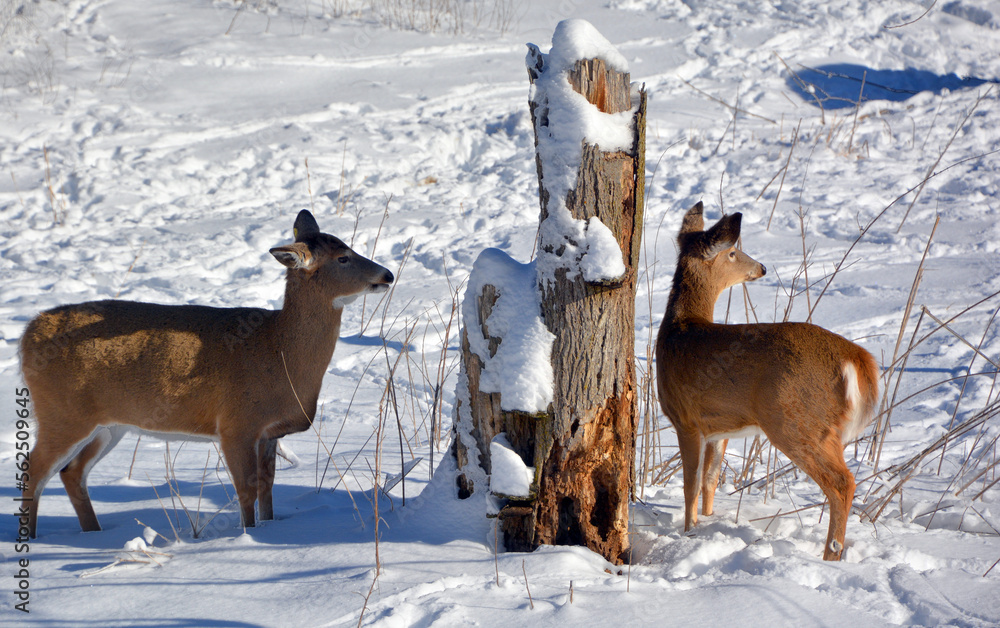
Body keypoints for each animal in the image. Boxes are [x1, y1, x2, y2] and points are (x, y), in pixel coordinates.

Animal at [19, 209, 394, 538]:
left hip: (109, 425)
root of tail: (27, 335)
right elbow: (246, 491)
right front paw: (248, 535)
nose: (387, 275)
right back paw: (32, 539)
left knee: (72, 472)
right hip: (62, 413)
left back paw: (93, 534)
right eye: (343, 258)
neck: (278, 351)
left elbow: (268, 489)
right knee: (33, 470)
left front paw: (268, 527)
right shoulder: (236, 424)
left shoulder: (269, 432)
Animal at [655, 202, 879, 561]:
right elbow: (709, 480)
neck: (679, 328)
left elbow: (689, 485)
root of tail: (854, 356)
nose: (760, 267)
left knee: (843, 482)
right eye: (733, 252)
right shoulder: (720, 426)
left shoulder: (685, 417)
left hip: (794, 418)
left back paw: (831, 554)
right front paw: (708, 522)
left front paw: (688, 533)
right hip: (823, 426)